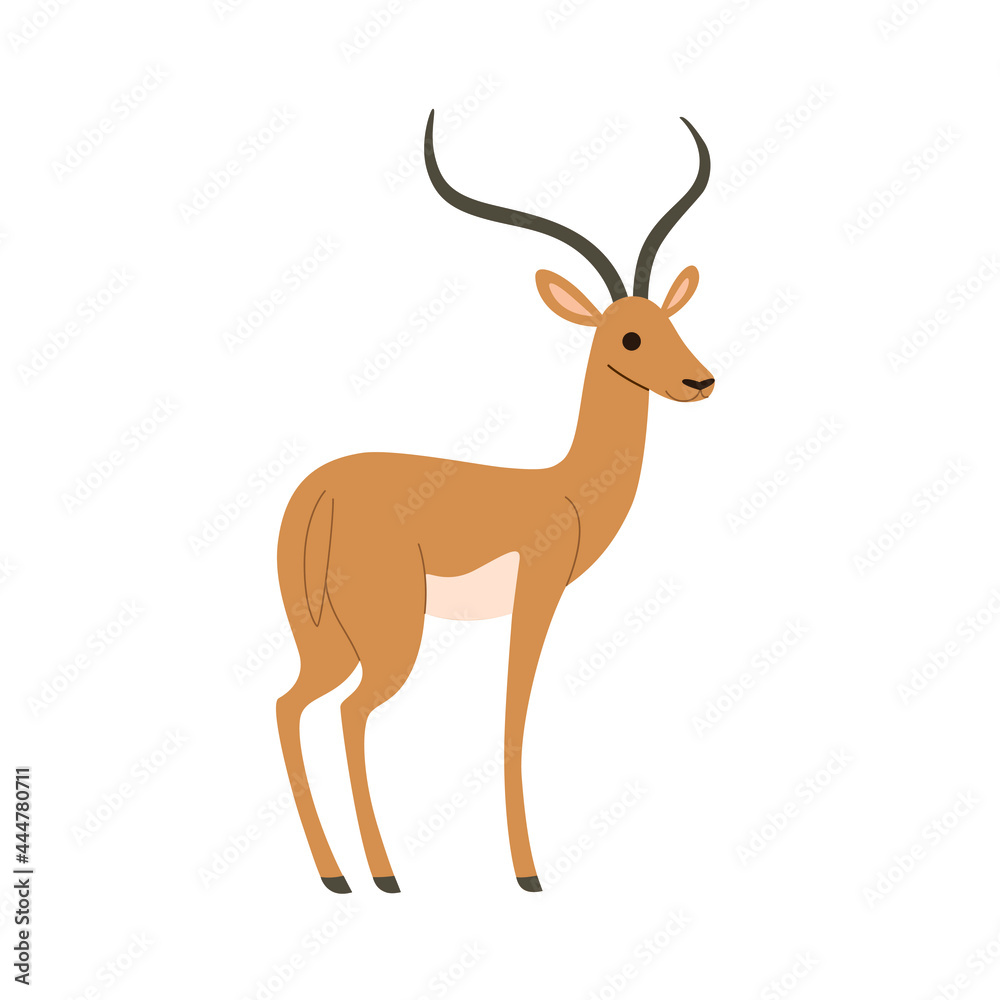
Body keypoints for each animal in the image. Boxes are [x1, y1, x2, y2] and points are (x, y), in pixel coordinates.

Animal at [276, 110, 713, 894]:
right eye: (630, 335)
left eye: (670, 320)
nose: (701, 381)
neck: (565, 487)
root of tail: (318, 492)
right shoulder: (537, 593)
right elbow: (514, 716)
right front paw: (529, 874)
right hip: (389, 632)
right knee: (351, 711)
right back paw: (383, 876)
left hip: (323, 634)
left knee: (291, 704)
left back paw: (338, 876)